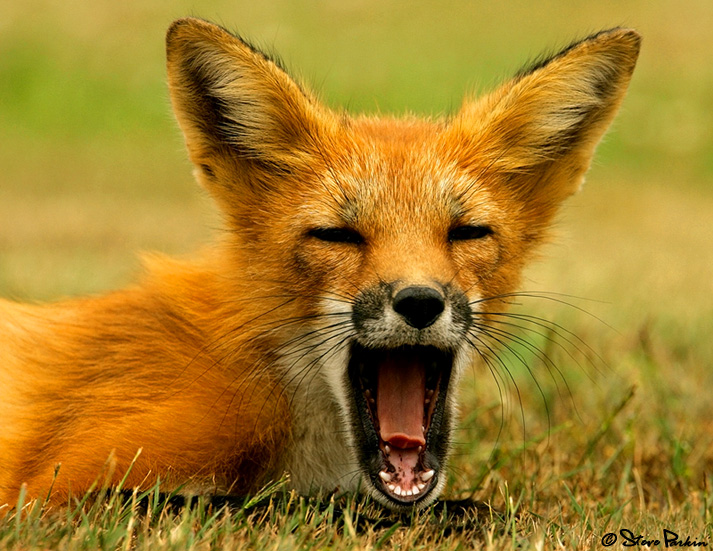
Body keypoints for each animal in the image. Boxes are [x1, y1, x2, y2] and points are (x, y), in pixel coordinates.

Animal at [0, 18, 640, 512]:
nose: (420, 301)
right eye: (338, 235)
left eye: (466, 233)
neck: (263, 377)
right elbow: (268, 506)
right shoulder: (55, 492)